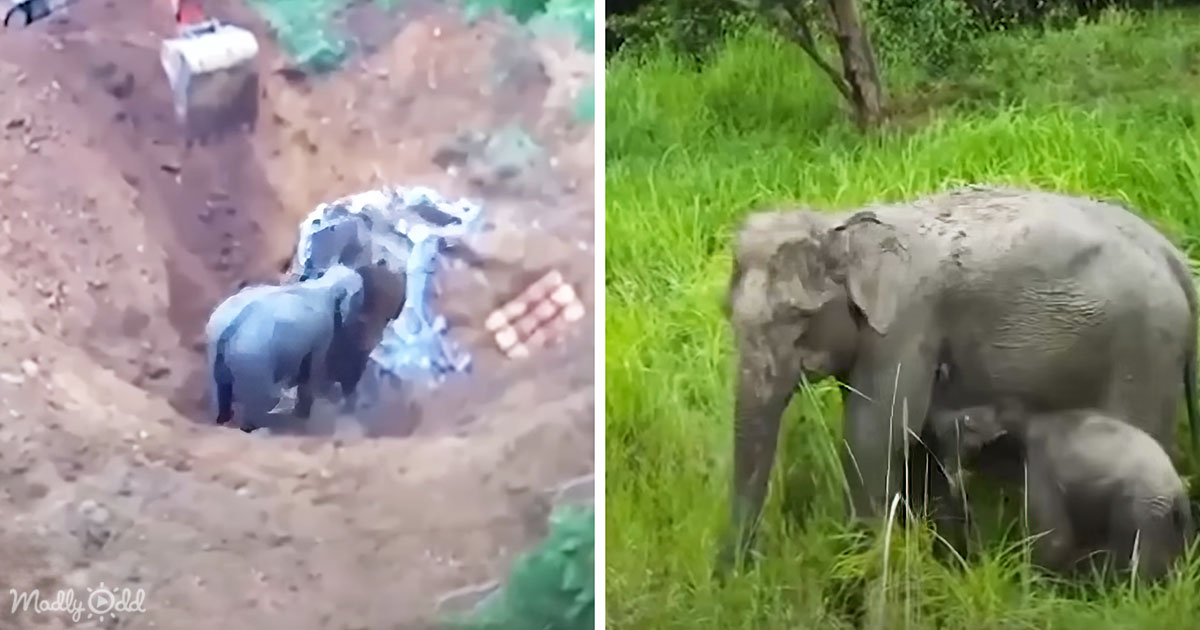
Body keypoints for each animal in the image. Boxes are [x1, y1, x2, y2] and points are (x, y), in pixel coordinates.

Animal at [206, 262, 407, 432]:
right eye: (361, 292)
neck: (324, 283)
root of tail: (227, 332)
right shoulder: (323, 331)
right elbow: (315, 366)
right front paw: (302, 414)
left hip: (217, 354)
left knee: (220, 390)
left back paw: (223, 420)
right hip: (253, 362)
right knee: (262, 398)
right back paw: (253, 426)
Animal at [926, 401, 1194, 582]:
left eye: (966, 421)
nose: (933, 417)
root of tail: (1177, 494)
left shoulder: (1041, 469)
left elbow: (1055, 541)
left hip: (1142, 515)